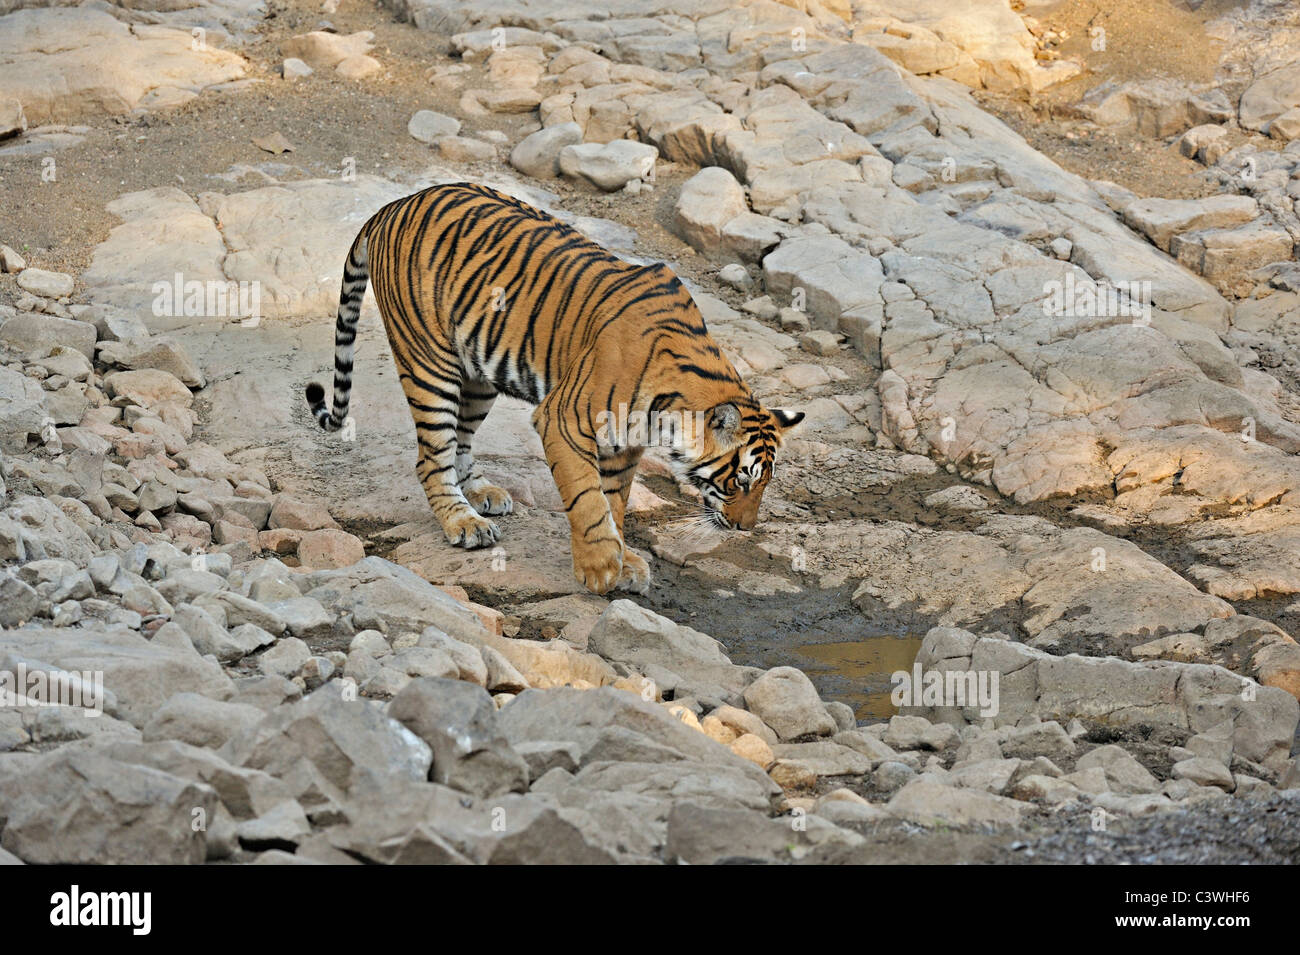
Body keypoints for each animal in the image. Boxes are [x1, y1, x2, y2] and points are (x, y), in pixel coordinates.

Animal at [305, 182, 803, 595]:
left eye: (765, 484)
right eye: (741, 479)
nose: (745, 529)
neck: (667, 411)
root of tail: (394, 204)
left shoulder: (624, 445)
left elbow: (614, 502)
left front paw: (623, 560)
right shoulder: (564, 419)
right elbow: (588, 499)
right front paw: (601, 567)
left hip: (480, 372)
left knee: (460, 440)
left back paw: (481, 495)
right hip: (429, 364)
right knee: (431, 458)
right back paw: (463, 522)